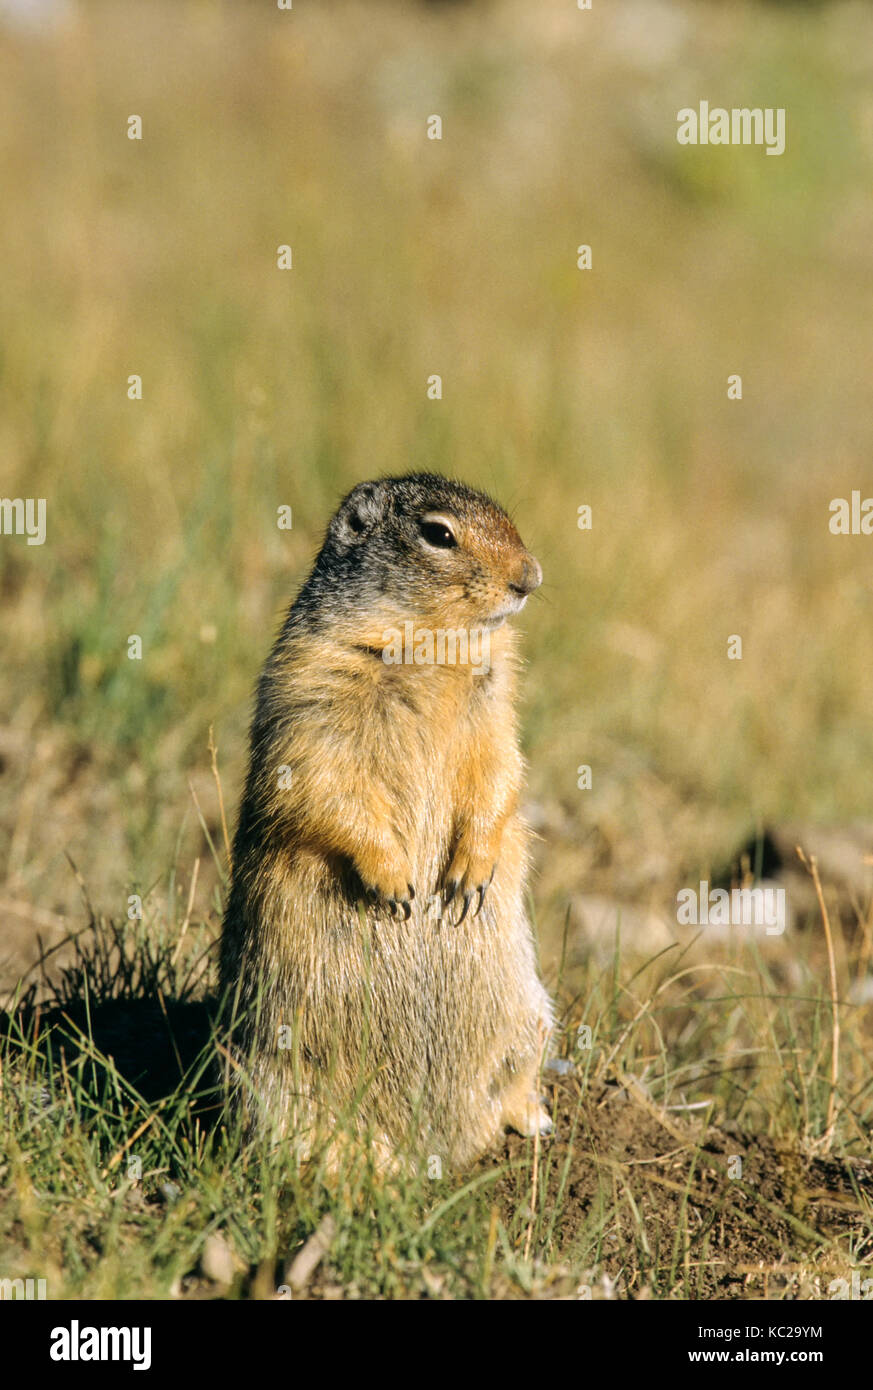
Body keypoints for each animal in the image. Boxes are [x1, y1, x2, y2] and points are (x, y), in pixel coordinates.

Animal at [219, 473, 554, 1170]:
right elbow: (324, 781)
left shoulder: (495, 699)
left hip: (531, 1019)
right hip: (275, 1075)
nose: (531, 578)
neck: (432, 647)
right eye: (437, 533)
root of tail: (434, 1146)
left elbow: (500, 768)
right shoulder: (313, 680)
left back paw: (532, 1119)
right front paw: (397, 885)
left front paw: (467, 878)